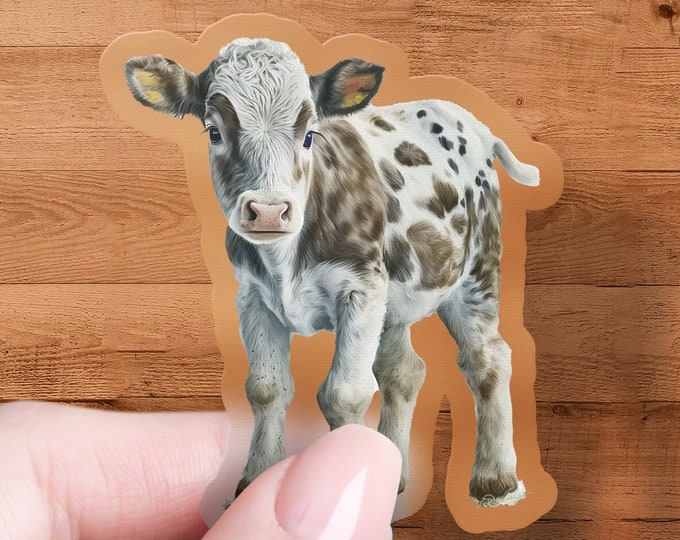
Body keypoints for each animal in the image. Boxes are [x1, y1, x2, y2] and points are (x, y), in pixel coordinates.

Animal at [124, 37, 539, 507]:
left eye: (308, 134)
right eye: (214, 131)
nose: (269, 210)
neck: (285, 263)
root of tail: (465, 118)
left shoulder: (360, 290)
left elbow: (344, 393)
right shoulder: (253, 299)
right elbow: (266, 388)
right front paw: (256, 481)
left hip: (476, 271)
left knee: (487, 359)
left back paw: (495, 480)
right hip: (394, 297)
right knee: (404, 371)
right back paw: (392, 472)